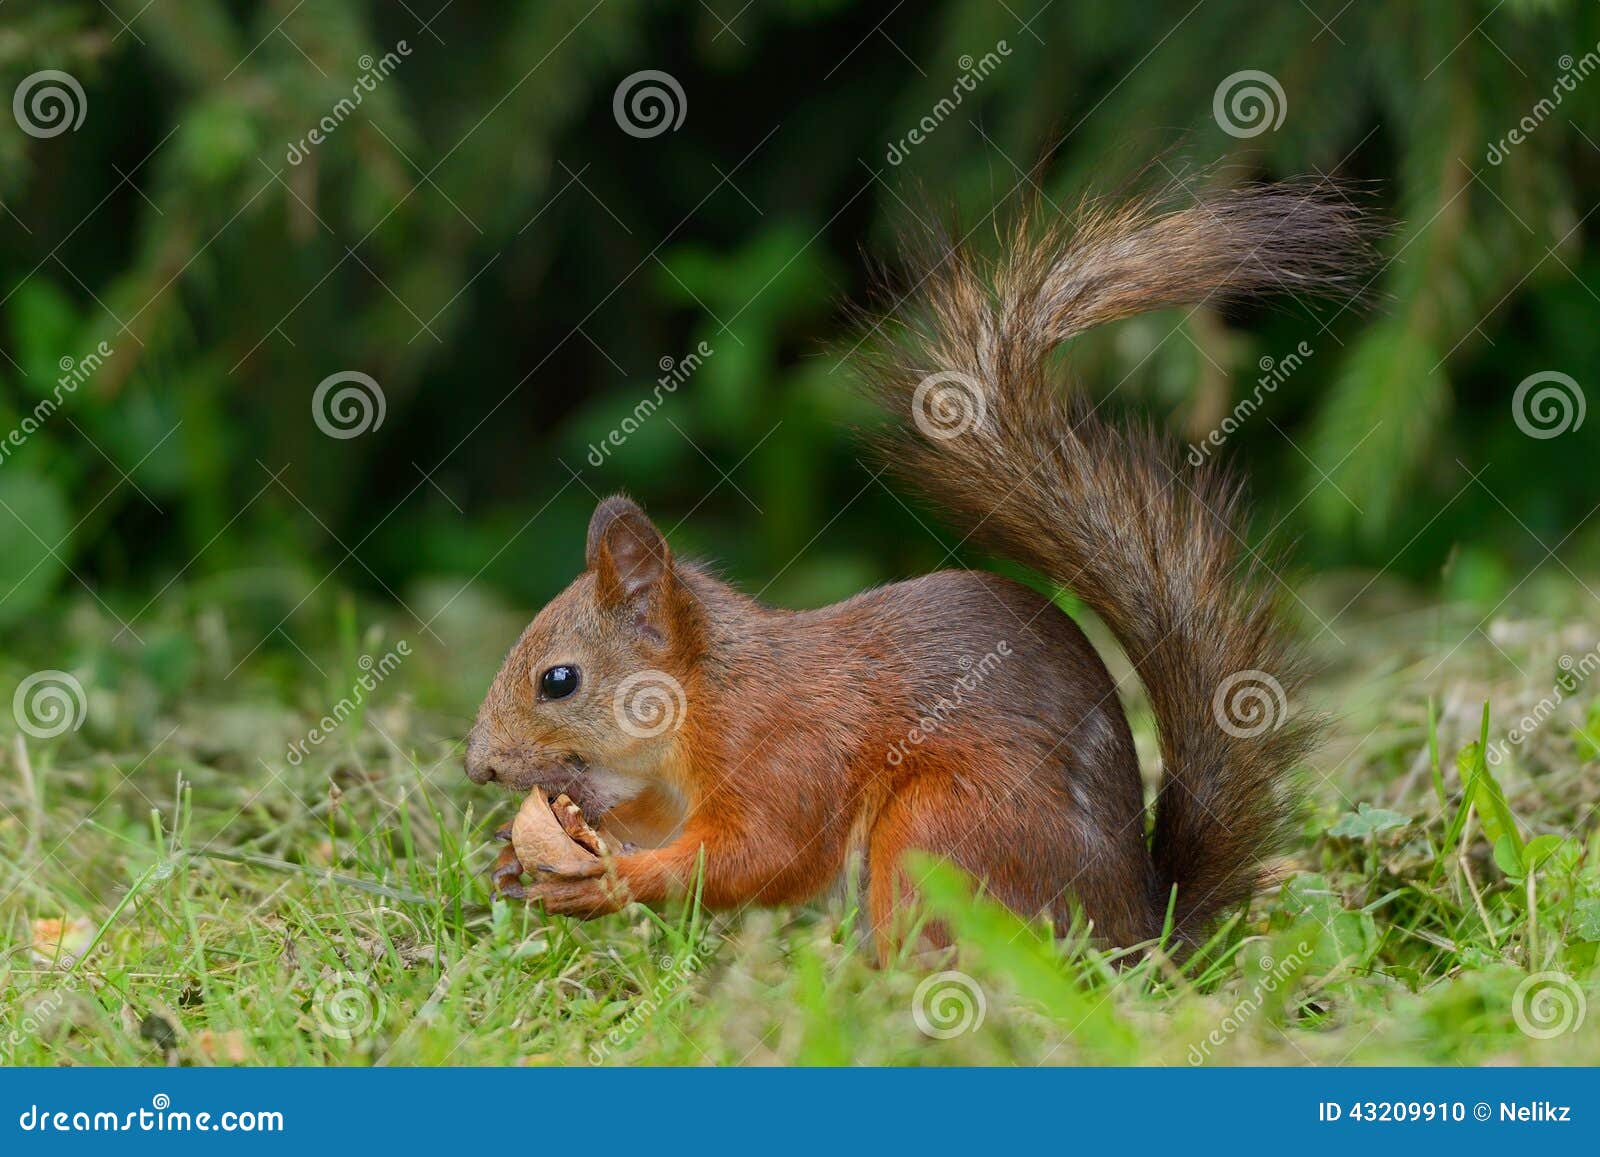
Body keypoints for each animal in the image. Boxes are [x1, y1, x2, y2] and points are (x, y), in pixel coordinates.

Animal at [464, 182, 1368, 958]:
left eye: (558, 680)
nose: (479, 766)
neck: (711, 693)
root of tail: (1140, 934)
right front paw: (526, 849)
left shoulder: (789, 753)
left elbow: (763, 857)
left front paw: (608, 880)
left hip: (941, 827)